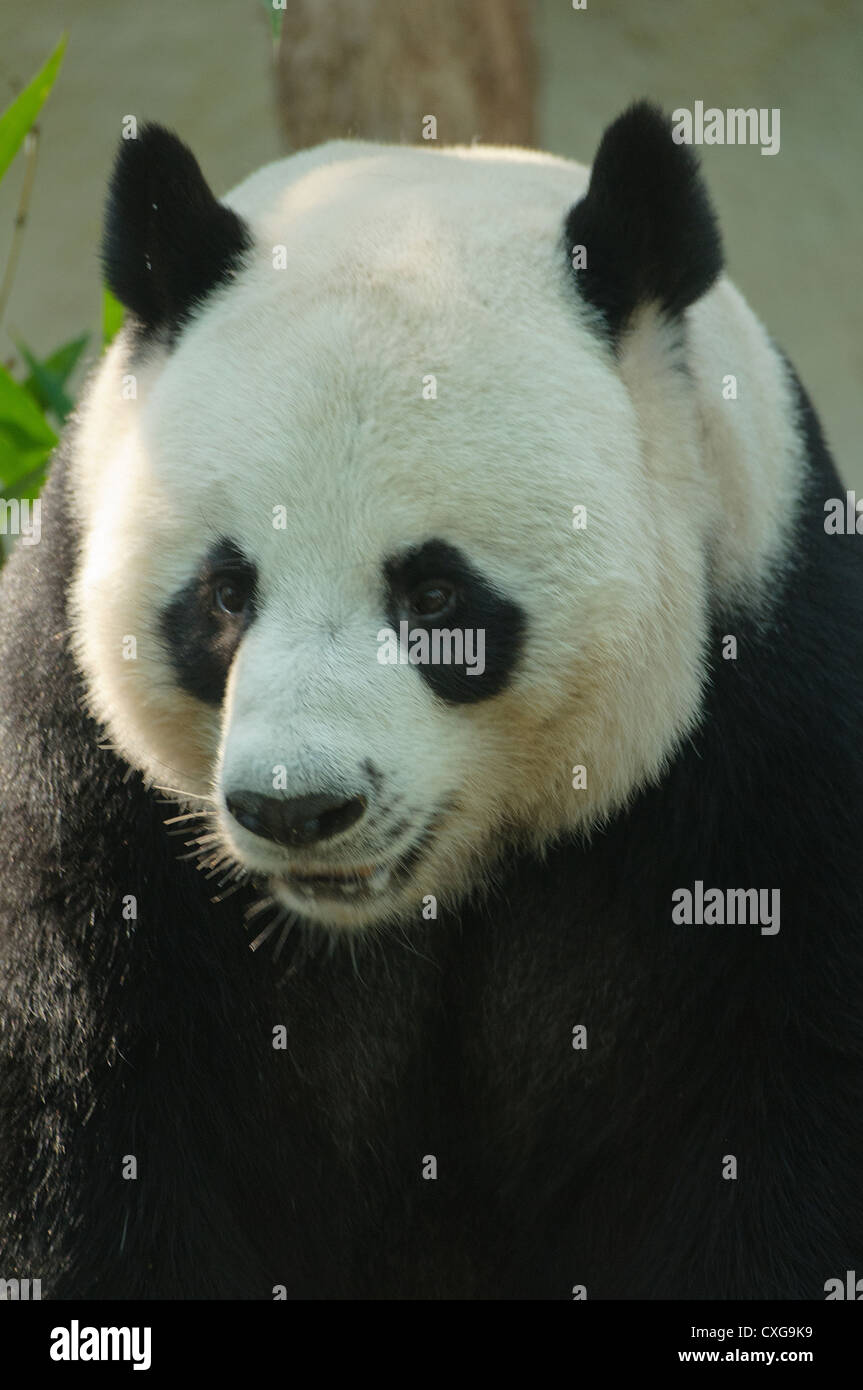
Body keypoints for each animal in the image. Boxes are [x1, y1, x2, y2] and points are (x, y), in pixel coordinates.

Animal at [0, 102, 861, 1301]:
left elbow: (776, 1123)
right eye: (225, 593)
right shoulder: (86, 778)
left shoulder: (769, 742)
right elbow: (80, 1108)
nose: (296, 809)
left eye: (435, 595)